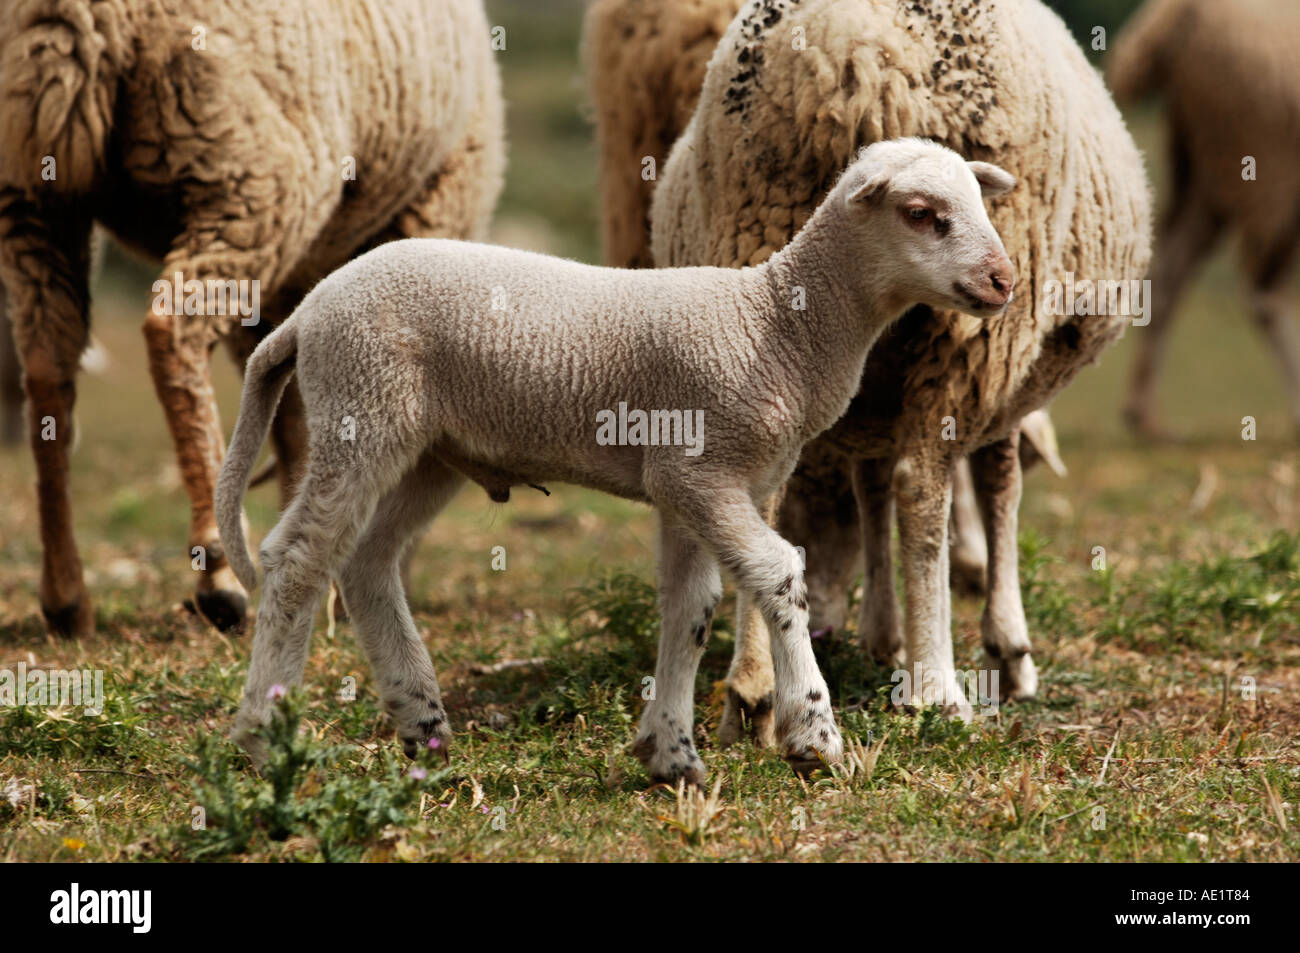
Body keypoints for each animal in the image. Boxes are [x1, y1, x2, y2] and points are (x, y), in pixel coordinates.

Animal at [0, 0, 504, 637]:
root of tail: (74, 17)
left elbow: (288, 415)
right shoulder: (429, 209)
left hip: (34, 194)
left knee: (48, 368)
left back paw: (66, 598)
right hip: (244, 174)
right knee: (171, 331)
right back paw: (216, 570)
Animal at [215, 138, 1019, 782]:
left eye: (981, 201)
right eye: (921, 212)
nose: (1003, 280)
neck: (775, 324)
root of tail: (307, 311)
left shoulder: (695, 485)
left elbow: (692, 609)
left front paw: (670, 753)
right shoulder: (697, 469)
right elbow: (778, 575)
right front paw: (813, 735)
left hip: (429, 450)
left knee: (366, 562)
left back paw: (424, 725)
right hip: (363, 408)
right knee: (298, 558)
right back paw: (262, 736)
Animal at [648, 0, 1152, 727]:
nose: (1003, 280)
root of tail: (855, 50)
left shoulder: (868, 390)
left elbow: (871, 484)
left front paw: (881, 632)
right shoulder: (996, 372)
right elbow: (995, 484)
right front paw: (1006, 649)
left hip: (758, 262)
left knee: (763, 497)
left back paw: (753, 688)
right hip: (965, 336)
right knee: (923, 486)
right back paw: (936, 685)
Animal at [1109, 0, 1300, 439]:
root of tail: (1179, 15)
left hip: (1203, 168)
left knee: (1168, 272)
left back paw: (1145, 416)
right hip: (1267, 165)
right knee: (1265, 294)